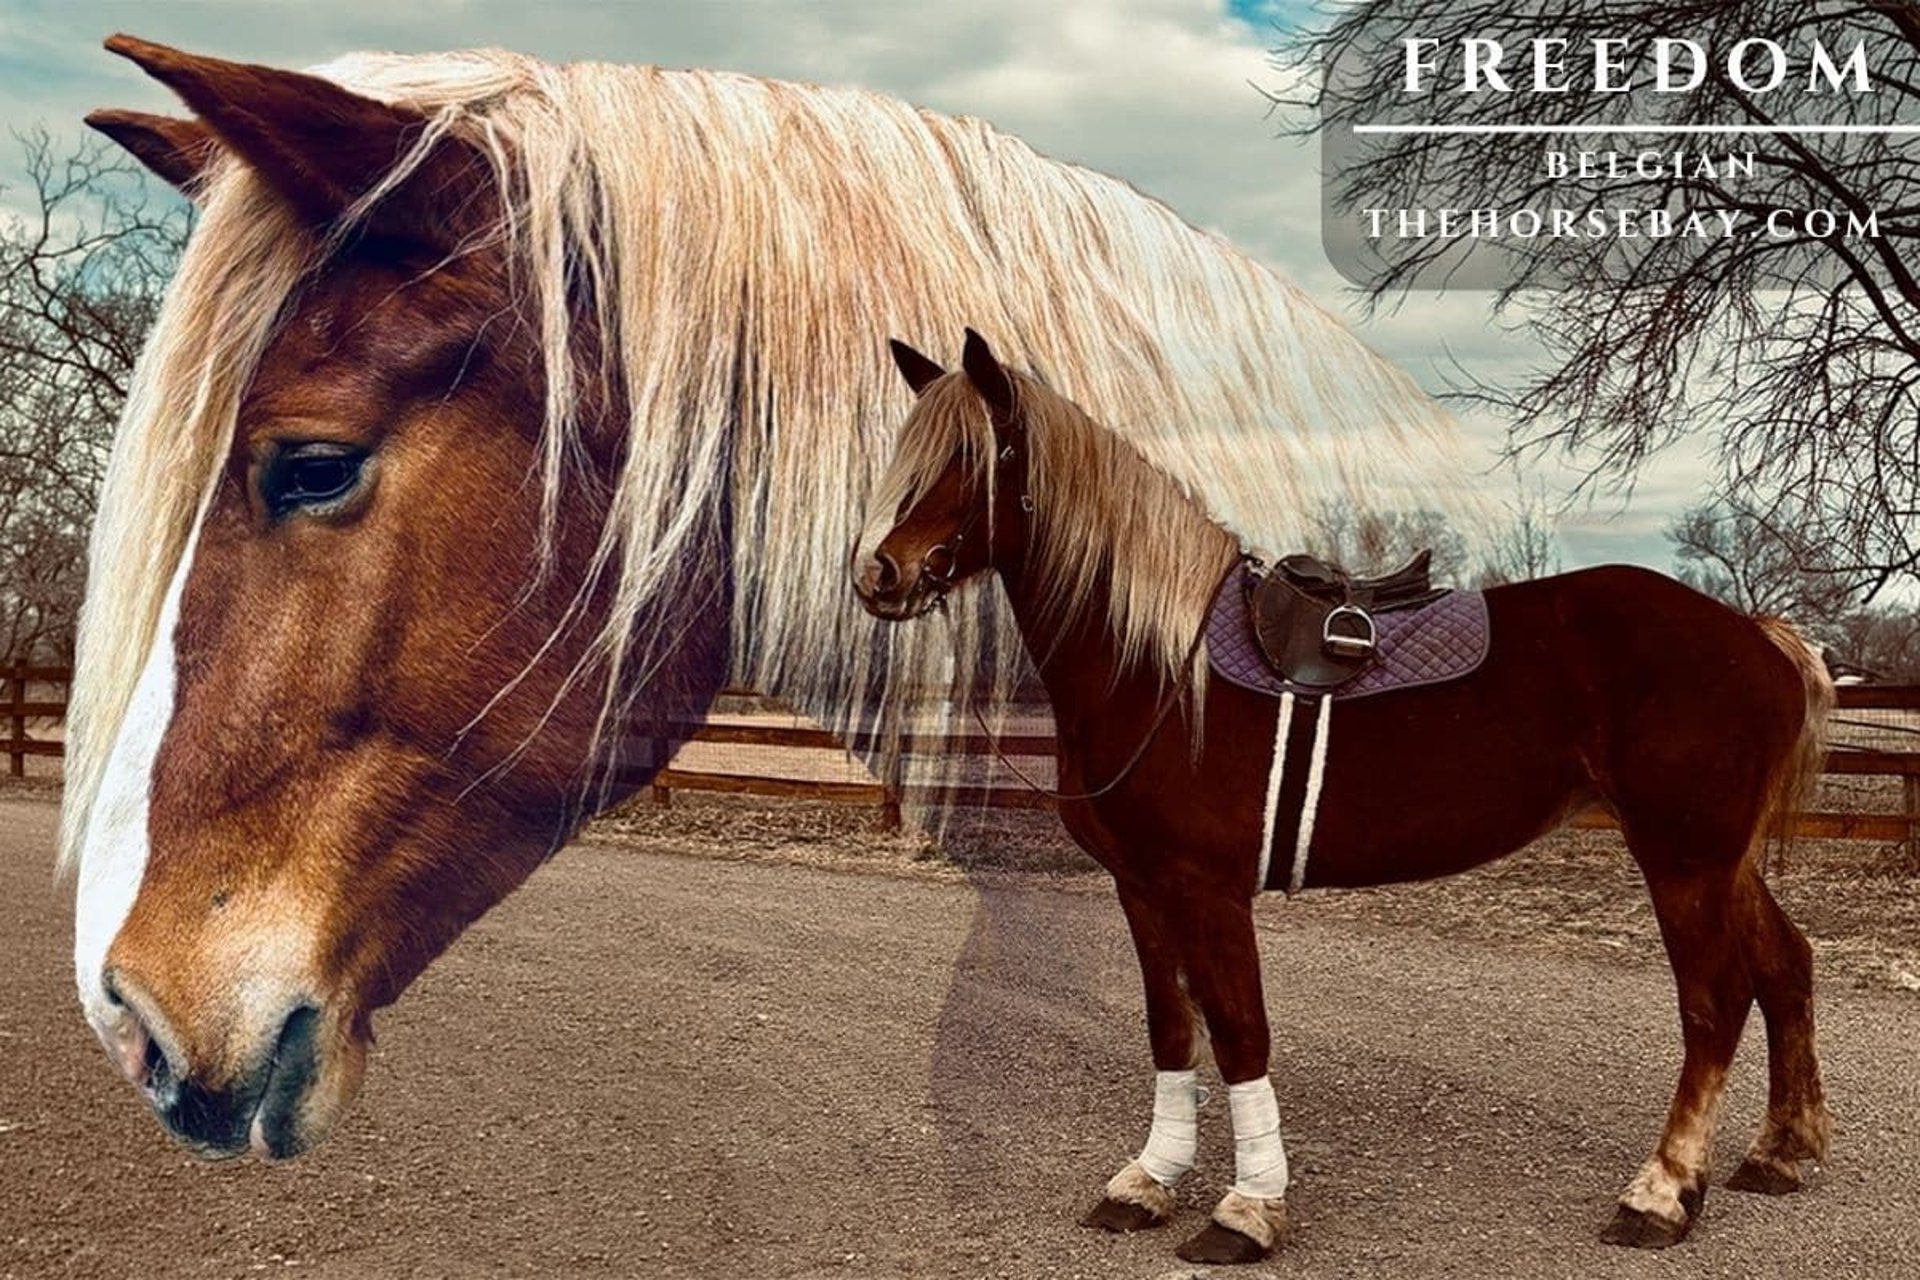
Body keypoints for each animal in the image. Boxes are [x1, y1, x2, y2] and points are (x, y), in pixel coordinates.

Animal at [854, 331, 1834, 1264]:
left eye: (972, 458)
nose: (879, 575)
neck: (1162, 669)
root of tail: (1757, 634)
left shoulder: (1209, 890)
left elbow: (1239, 1031)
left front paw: (1247, 1210)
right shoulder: (1141, 887)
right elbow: (1171, 1029)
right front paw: (1149, 1182)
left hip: (1683, 860)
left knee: (1715, 1004)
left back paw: (1661, 1194)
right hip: (1721, 861)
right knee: (1785, 966)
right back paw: (1779, 1153)